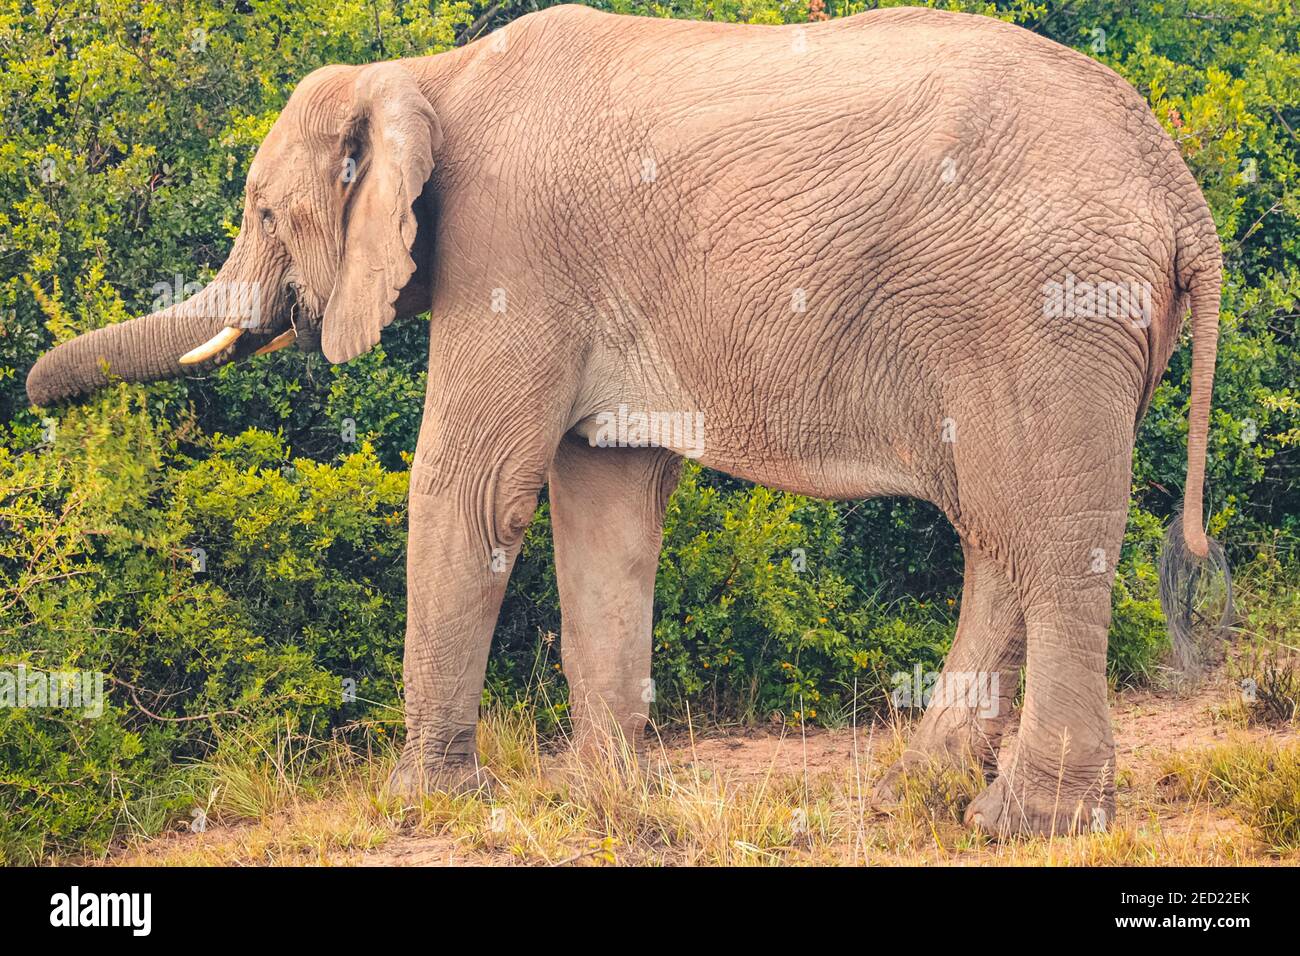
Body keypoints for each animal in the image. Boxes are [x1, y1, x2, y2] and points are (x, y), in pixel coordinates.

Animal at [25, 5, 1227, 837]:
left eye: (267, 214)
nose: (33, 397)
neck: (428, 76)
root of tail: (1179, 188)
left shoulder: (510, 256)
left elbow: (469, 487)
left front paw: (427, 802)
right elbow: (603, 503)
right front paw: (618, 793)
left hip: (1048, 309)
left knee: (1050, 533)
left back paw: (1024, 822)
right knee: (997, 531)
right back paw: (918, 784)